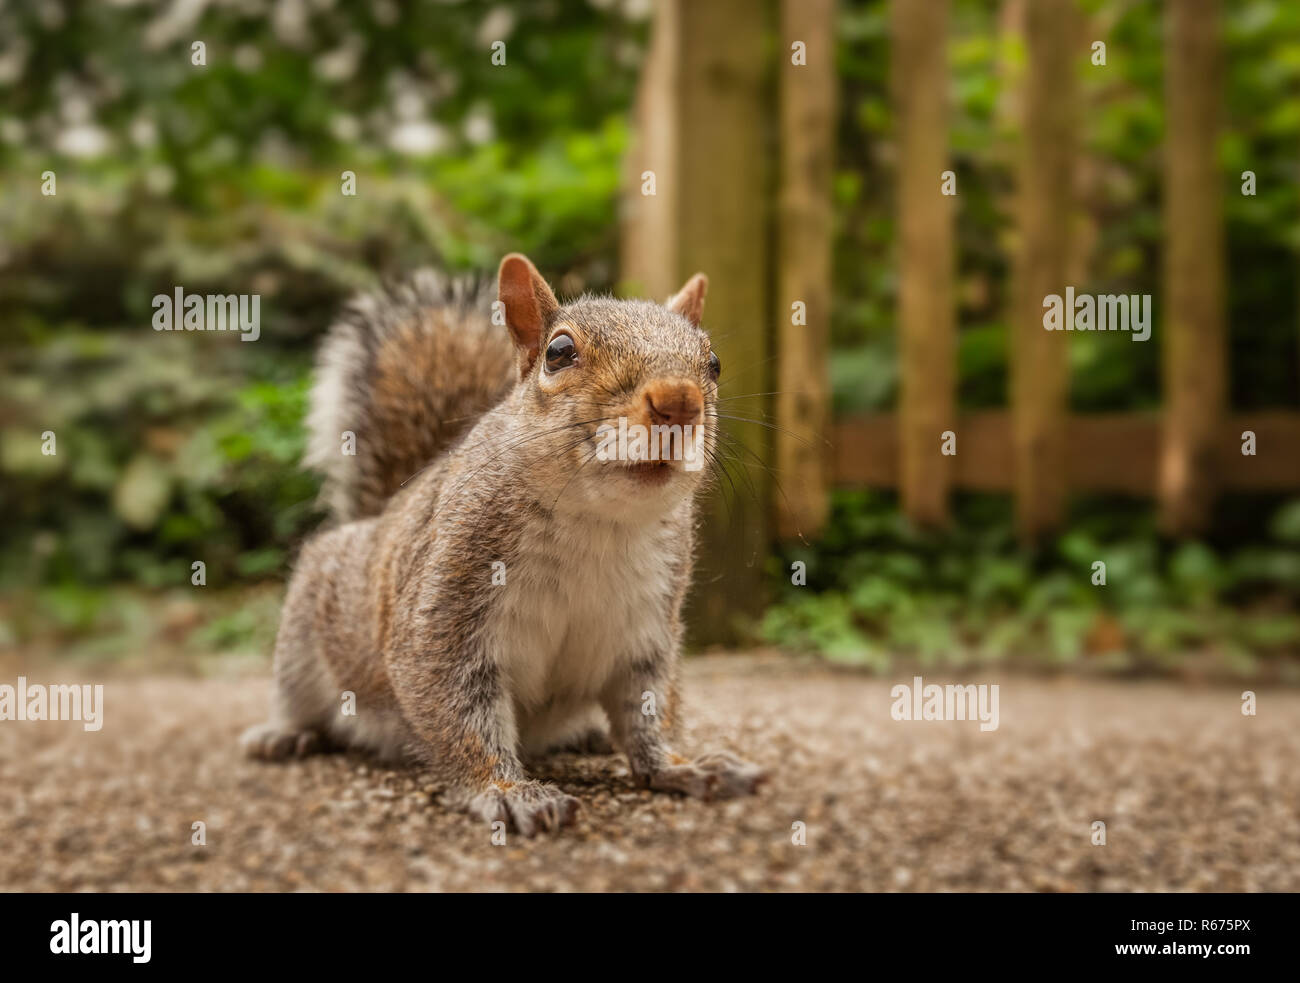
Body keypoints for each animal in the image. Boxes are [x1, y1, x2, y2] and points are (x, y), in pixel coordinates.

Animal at [241, 253, 765, 835]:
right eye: (559, 352)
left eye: (714, 362)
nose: (678, 401)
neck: (598, 522)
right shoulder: (445, 609)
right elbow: (457, 709)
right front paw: (508, 791)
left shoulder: (649, 627)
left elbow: (650, 709)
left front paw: (681, 764)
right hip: (305, 636)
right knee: (297, 695)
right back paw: (281, 733)